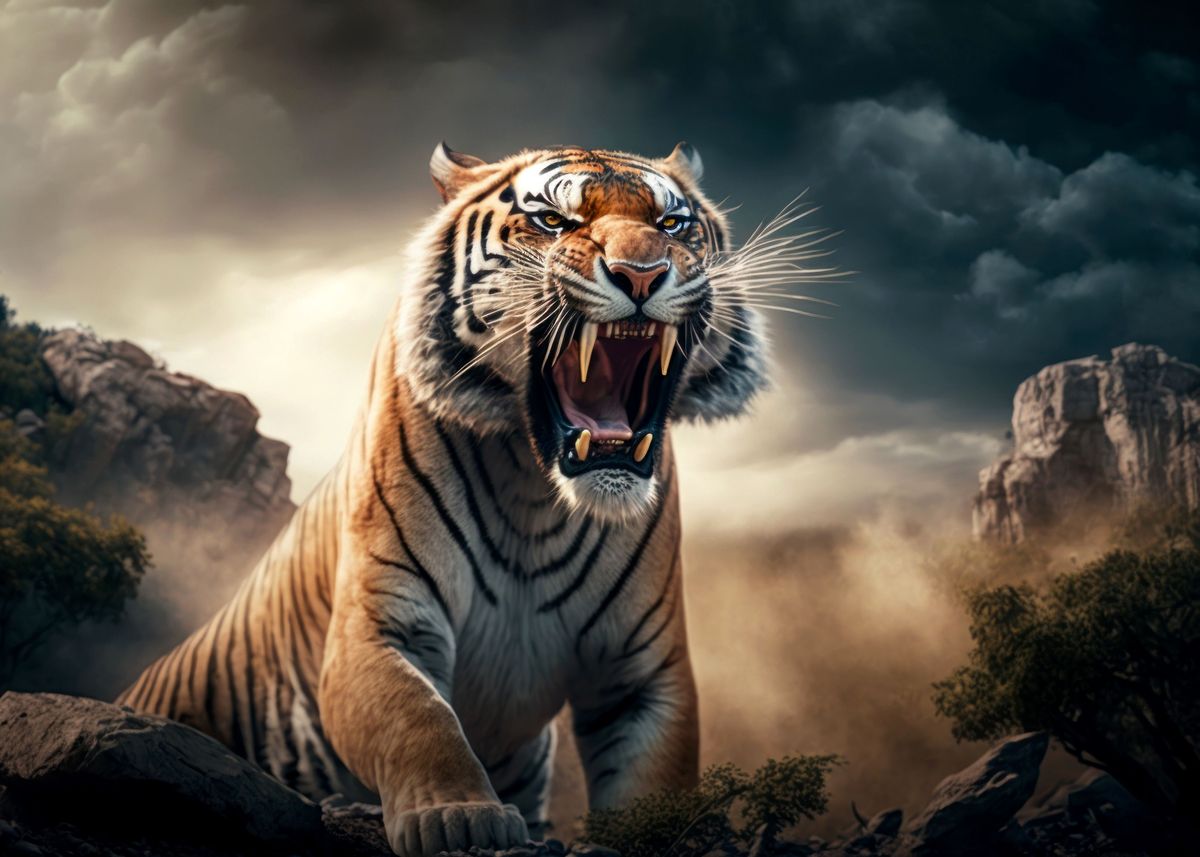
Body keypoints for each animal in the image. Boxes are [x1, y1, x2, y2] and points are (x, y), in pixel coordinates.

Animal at [117, 142, 776, 857]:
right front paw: (459, 816)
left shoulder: (644, 671)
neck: (535, 489)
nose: (642, 274)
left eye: (673, 224)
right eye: (552, 220)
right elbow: (420, 720)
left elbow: (656, 781)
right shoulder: (380, 625)